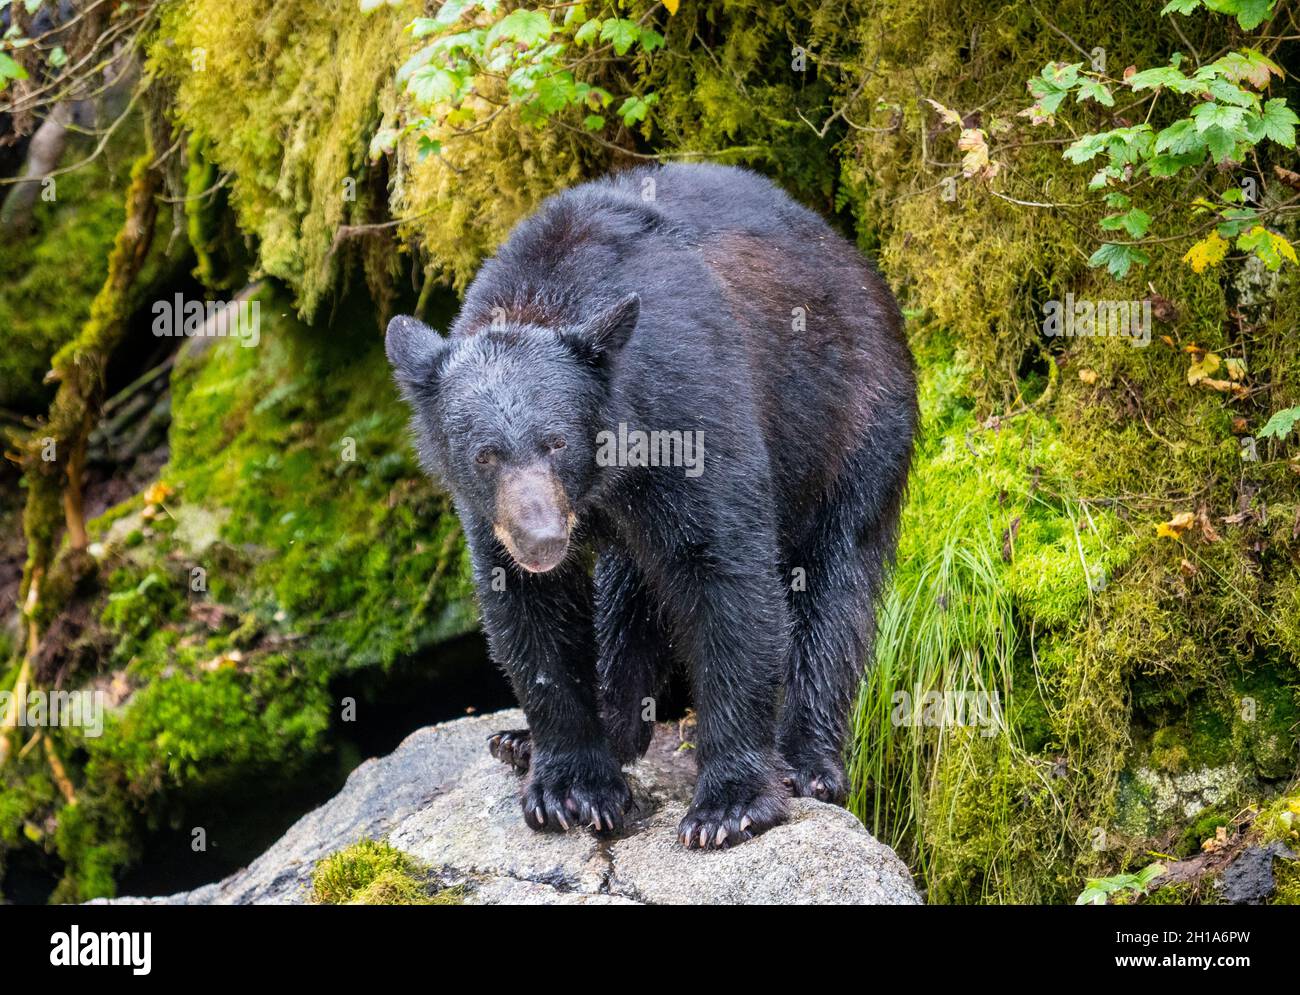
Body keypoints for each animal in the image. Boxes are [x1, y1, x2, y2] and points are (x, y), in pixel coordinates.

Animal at [386, 162, 917, 849]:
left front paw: (729, 805)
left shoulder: (690, 408)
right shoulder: (490, 517)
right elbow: (529, 613)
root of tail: (854, 256)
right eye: (484, 455)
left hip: (854, 419)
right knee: (629, 593)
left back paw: (808, 761)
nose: (541, 540)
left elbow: (727, 577)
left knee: (836, 580)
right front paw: (568, 786)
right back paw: (552, 735)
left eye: (556, 441)